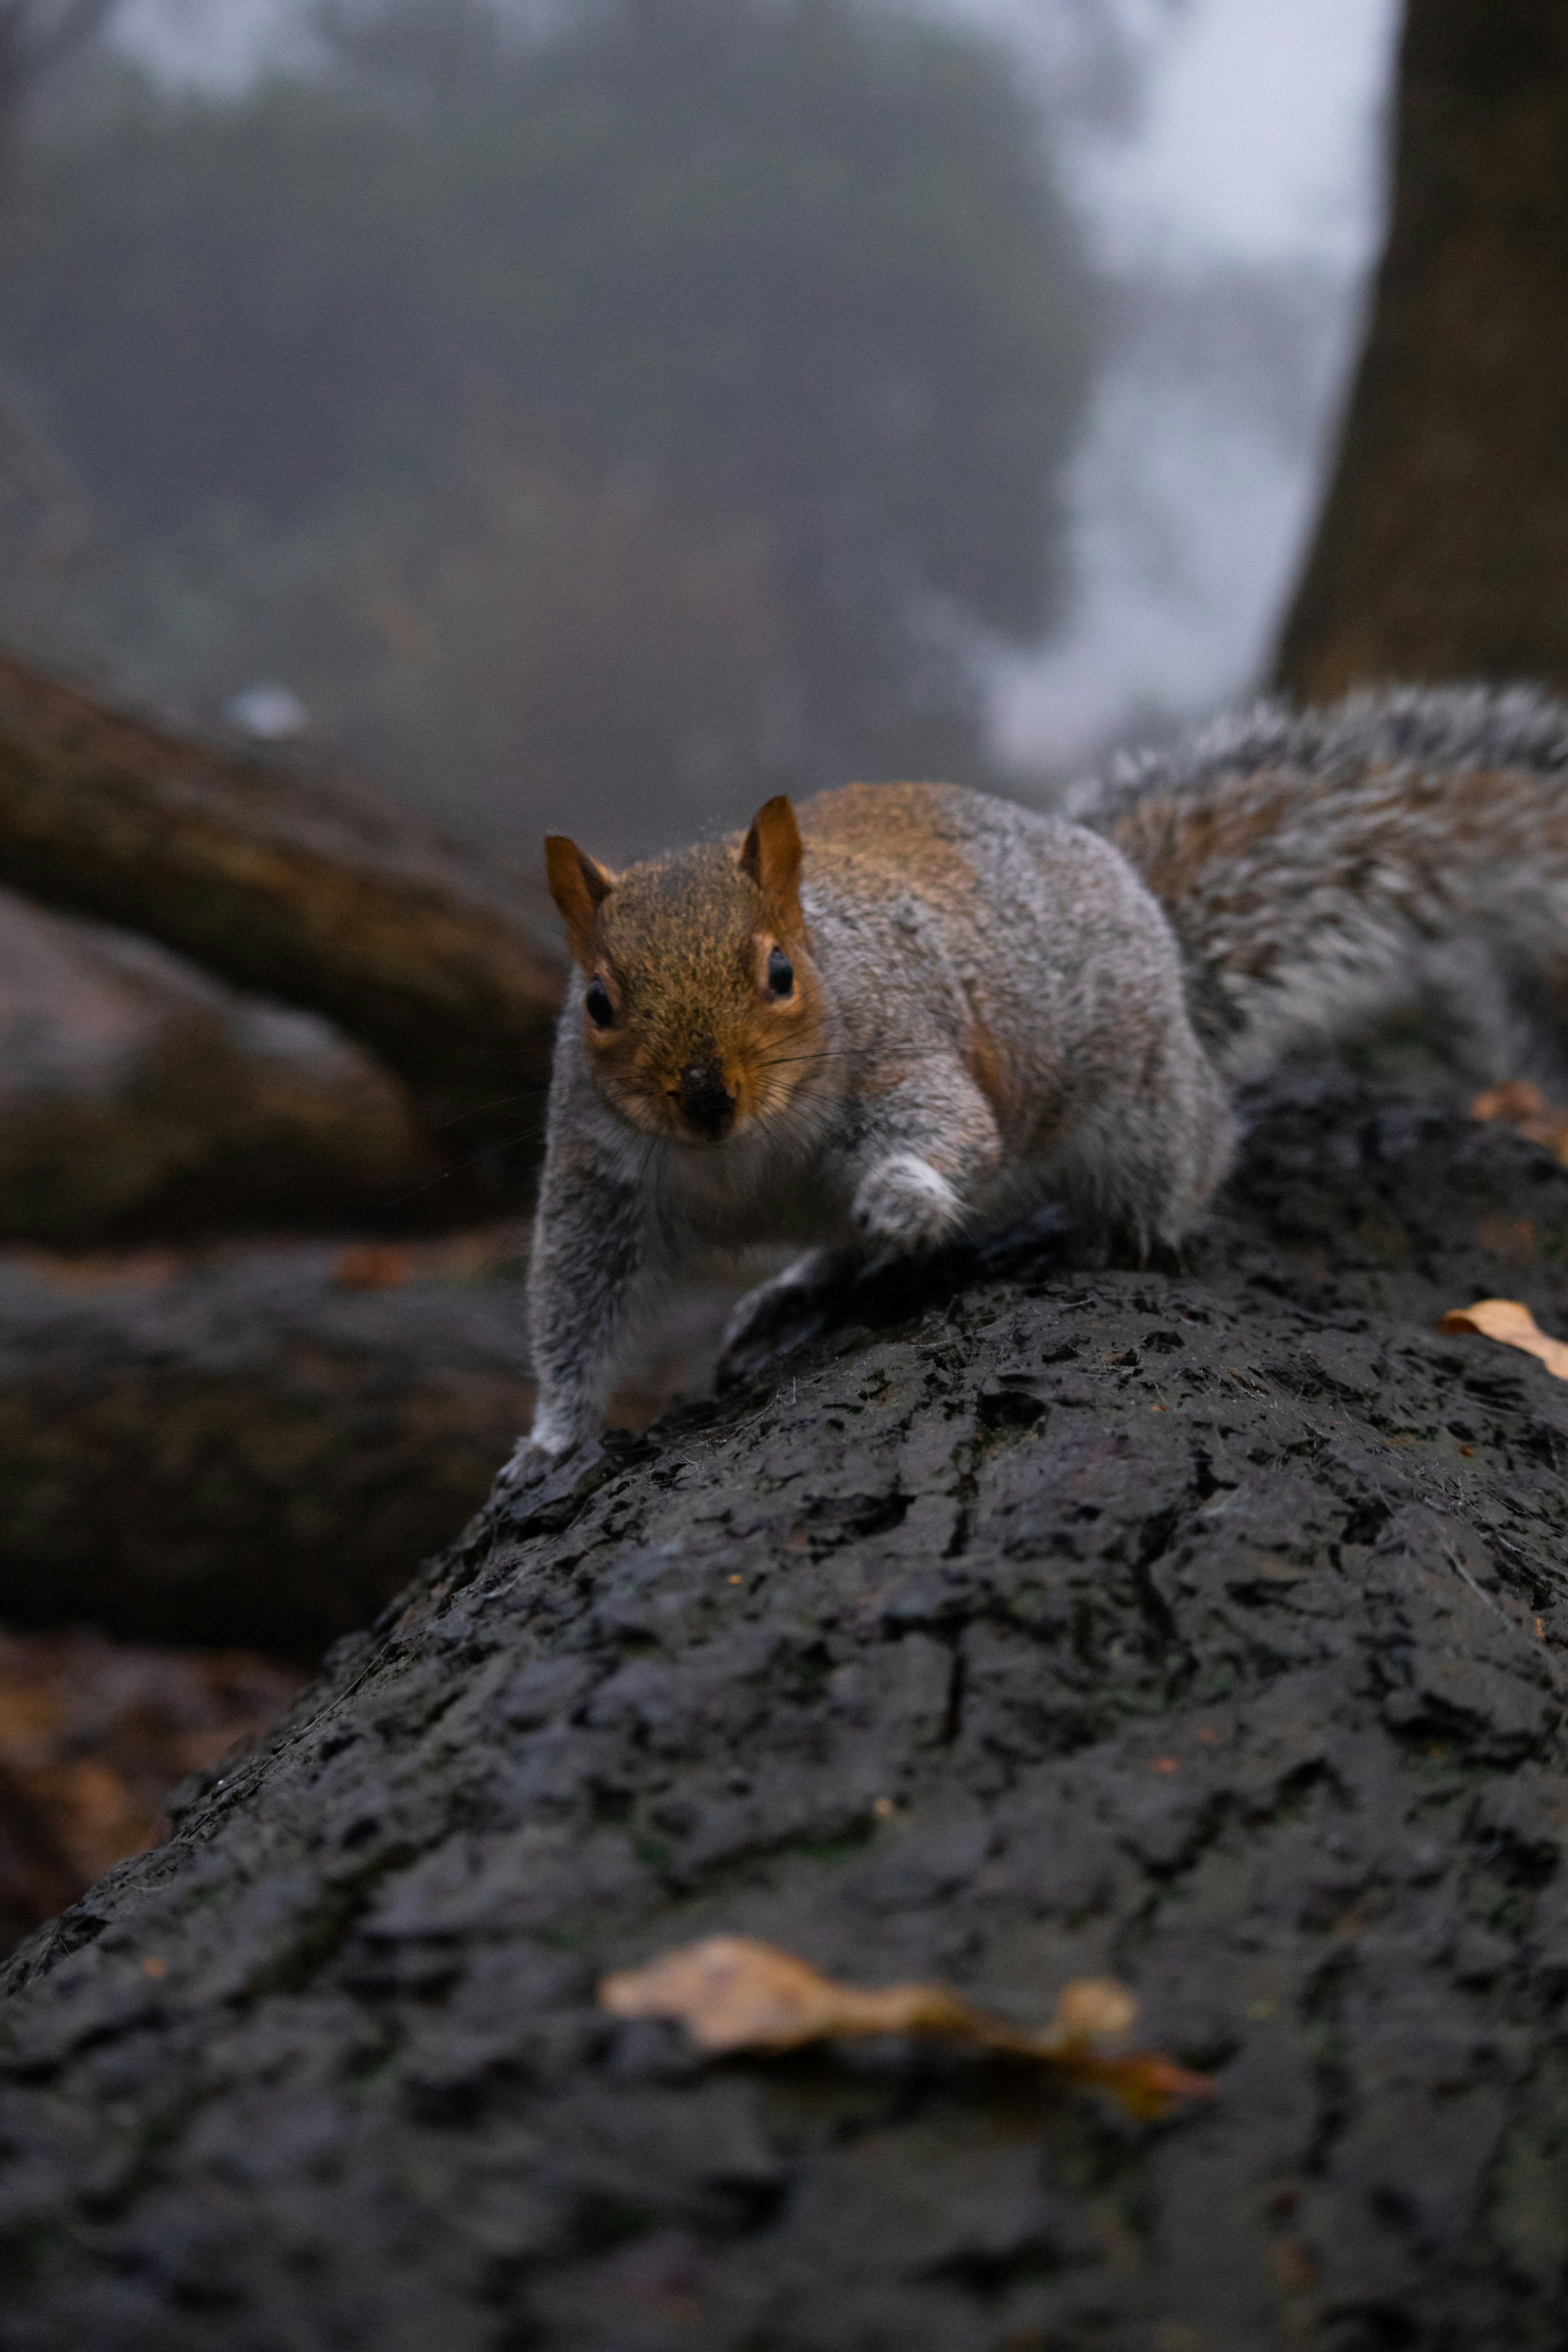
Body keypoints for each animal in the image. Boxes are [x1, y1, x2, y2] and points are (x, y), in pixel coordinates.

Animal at [514, 683, 1568, 1469]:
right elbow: (574, 1299)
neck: (744, 1153)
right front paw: (553, 1439)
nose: (704, 1098)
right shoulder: (597, 1174)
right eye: (597, 1002)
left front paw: (903, 1194)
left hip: (1141, 1109)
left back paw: (1131, 1234)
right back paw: (797, 1290)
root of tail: (1148, 916)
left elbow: (955, 1133)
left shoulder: (903, 1048)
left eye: (779, 974)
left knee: (1189, 1157)